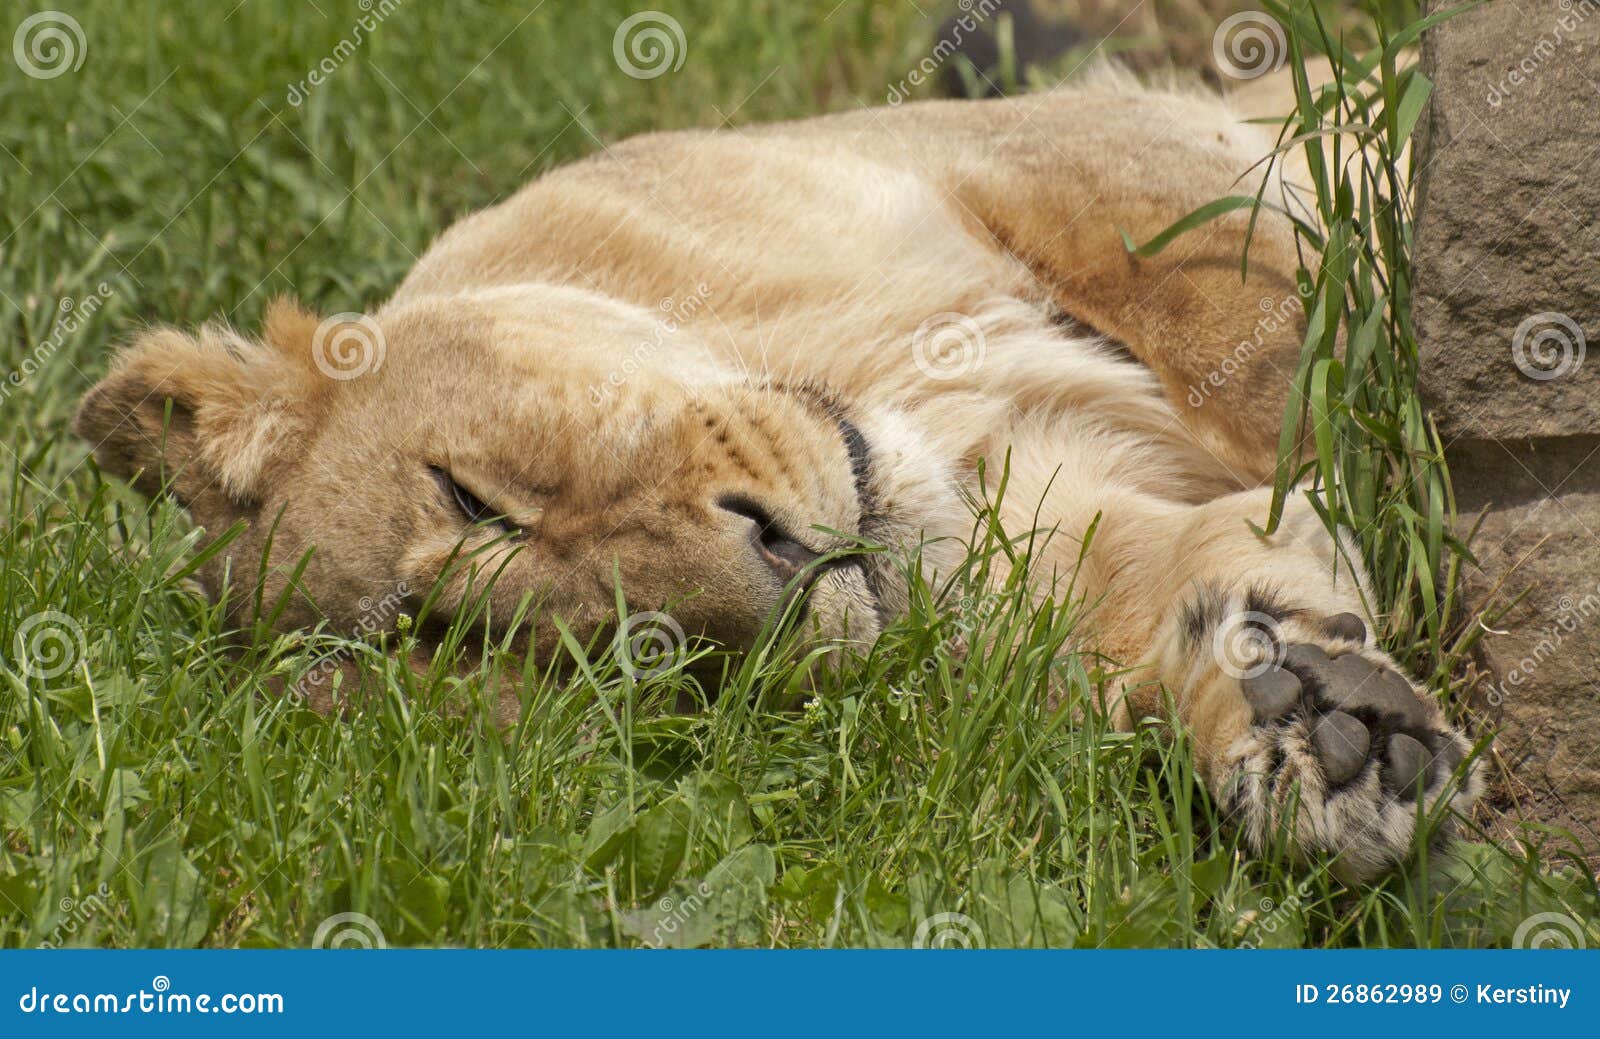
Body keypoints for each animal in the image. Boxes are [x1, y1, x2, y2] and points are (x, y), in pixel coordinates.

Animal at [74, 69, 1479, 882]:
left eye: (476, 499)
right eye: (628, 671)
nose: (790, 565)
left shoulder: (1077, 149)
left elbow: (1269, 325)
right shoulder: (1056, 528)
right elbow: (1230, 551)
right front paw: (1313, 736)